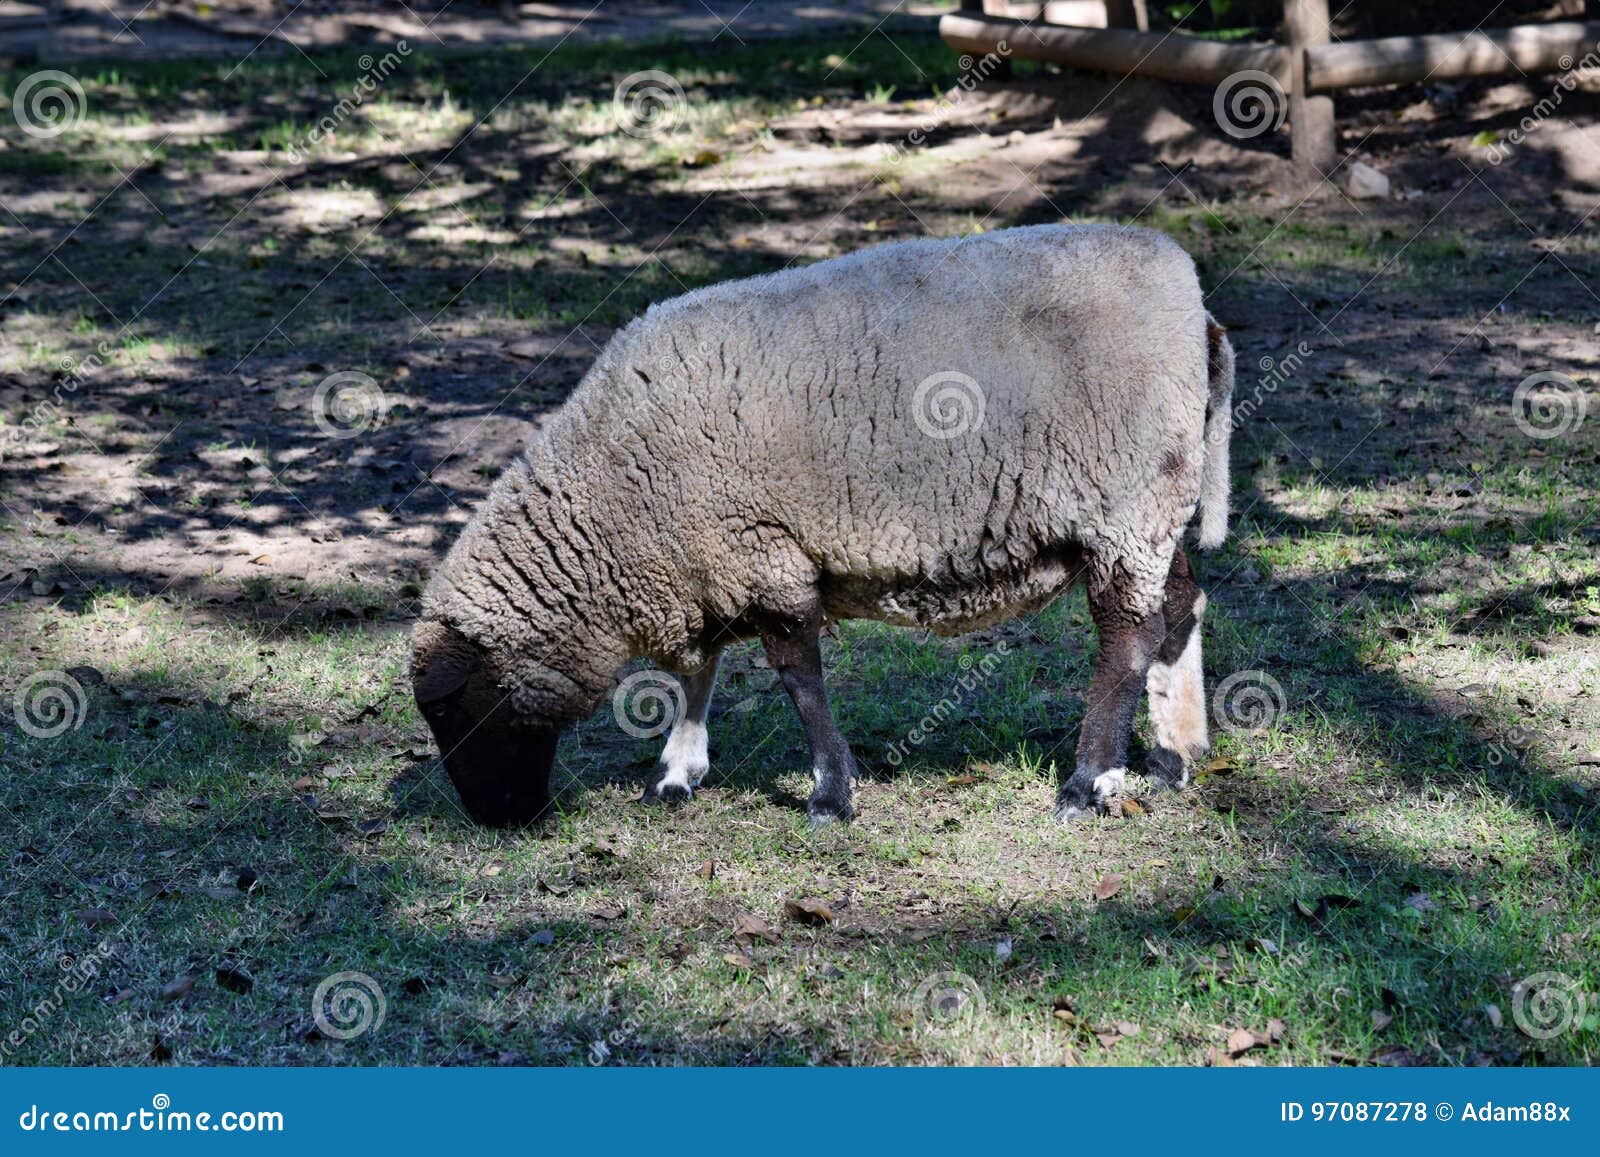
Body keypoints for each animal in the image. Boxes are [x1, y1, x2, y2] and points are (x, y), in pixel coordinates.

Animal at [411, 223, 1234, 828]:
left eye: (454, 709)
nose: (495, 820)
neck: (611, 492)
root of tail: (1196, 306)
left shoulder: (759, 547)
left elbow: (797, 678)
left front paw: (830, 794)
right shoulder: (709, 554)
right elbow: (698, 671)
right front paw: (677, 772)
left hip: (1125, 502)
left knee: (1126, 637)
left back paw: (1088, 782)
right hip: (1150, 511)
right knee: (1178, 606)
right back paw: (1174, 756)